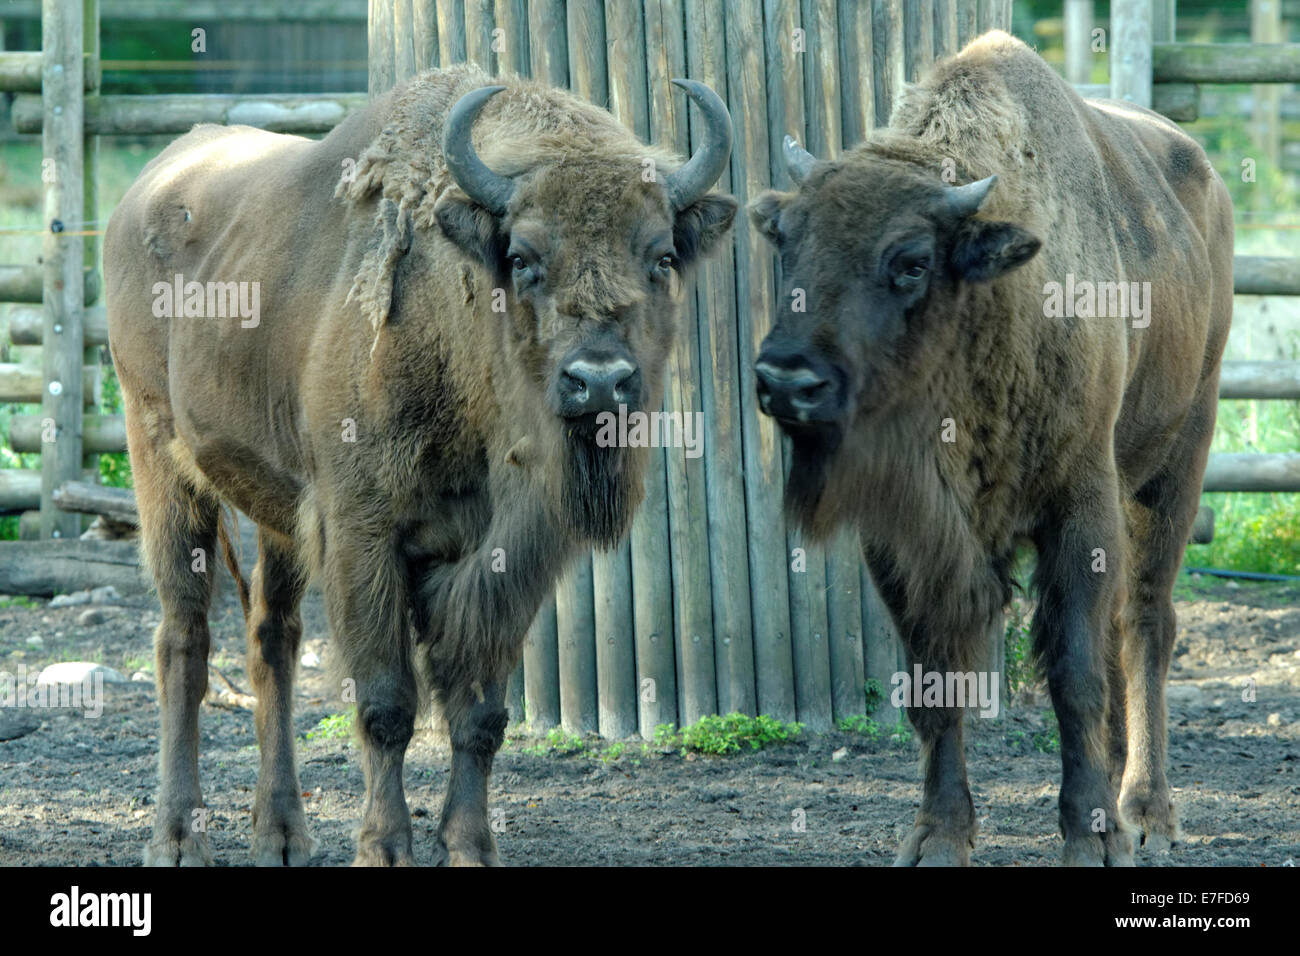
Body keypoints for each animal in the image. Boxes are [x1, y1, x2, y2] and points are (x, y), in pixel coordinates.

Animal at [106, 61, 738, 868]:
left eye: (661, 258)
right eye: (523, 258)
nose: (599, 381)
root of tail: (154, 180)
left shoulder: (508, 558)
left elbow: (481, 712)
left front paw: (469, 848)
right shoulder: (363, 537)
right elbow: (386, 704)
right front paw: (384, 848)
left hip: (278, 509)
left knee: (272, 637)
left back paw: (282, 834)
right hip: (158, 452)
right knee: (183, 637)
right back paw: (179, 838)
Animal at [748, 31, 1232, 868]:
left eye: (910, 260)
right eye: (787, 245)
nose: (786, 379)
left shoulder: (1080, 500)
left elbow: (1073, 671)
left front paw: (1093, 838)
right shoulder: (906, 538)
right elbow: (935, 680)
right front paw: (937, 838)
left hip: (1176, 461)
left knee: (1145, 623)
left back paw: (1144, 813)